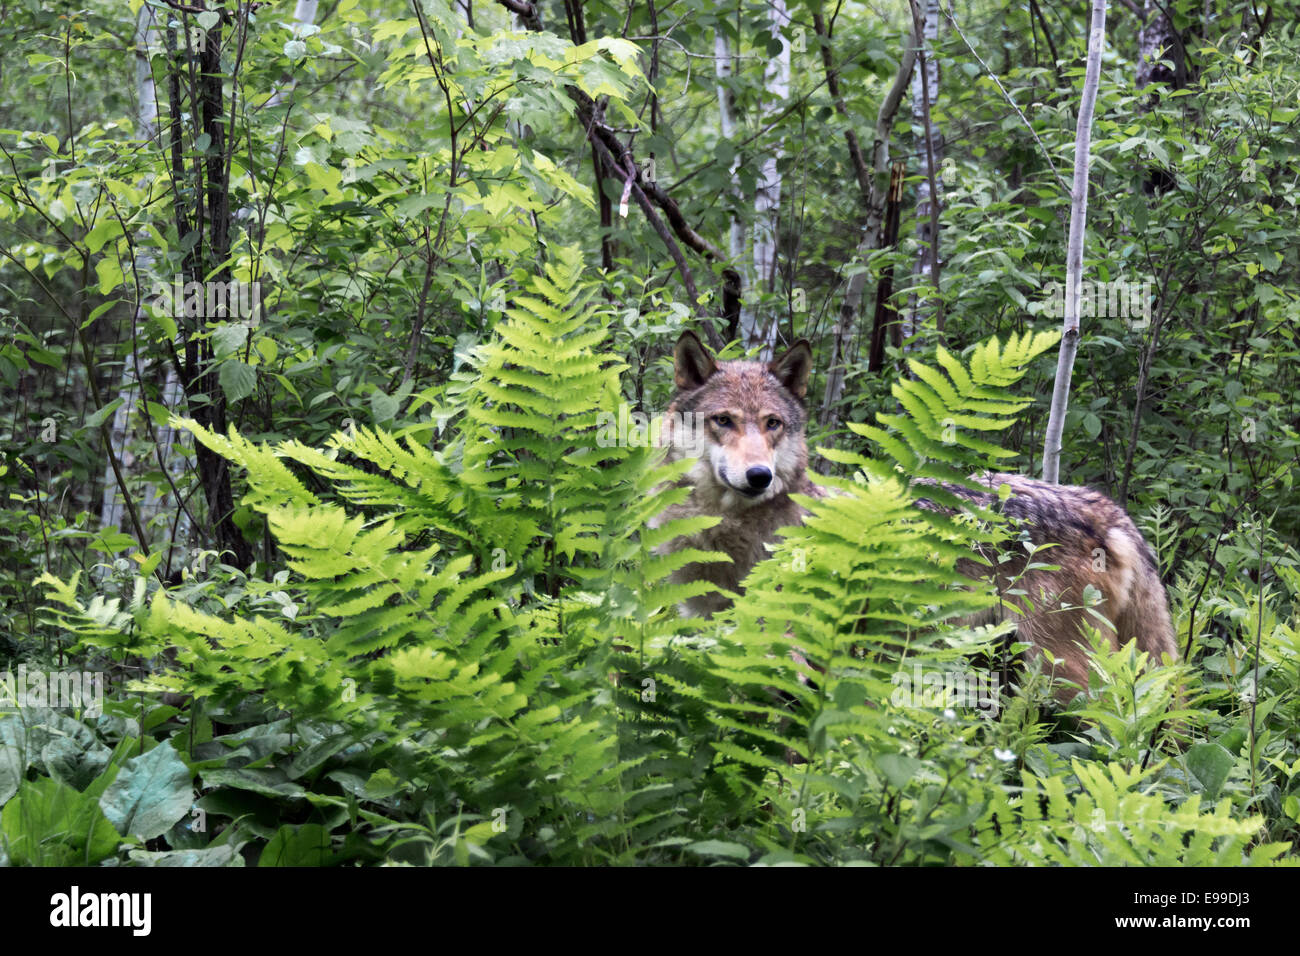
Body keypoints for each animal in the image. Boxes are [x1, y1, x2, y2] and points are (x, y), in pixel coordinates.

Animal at [652, 330, 1179, 702]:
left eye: (772, 424)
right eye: (724, 421)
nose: (759, 476)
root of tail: (1107, 509)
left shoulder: (798, 651)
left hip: (1059, 670)